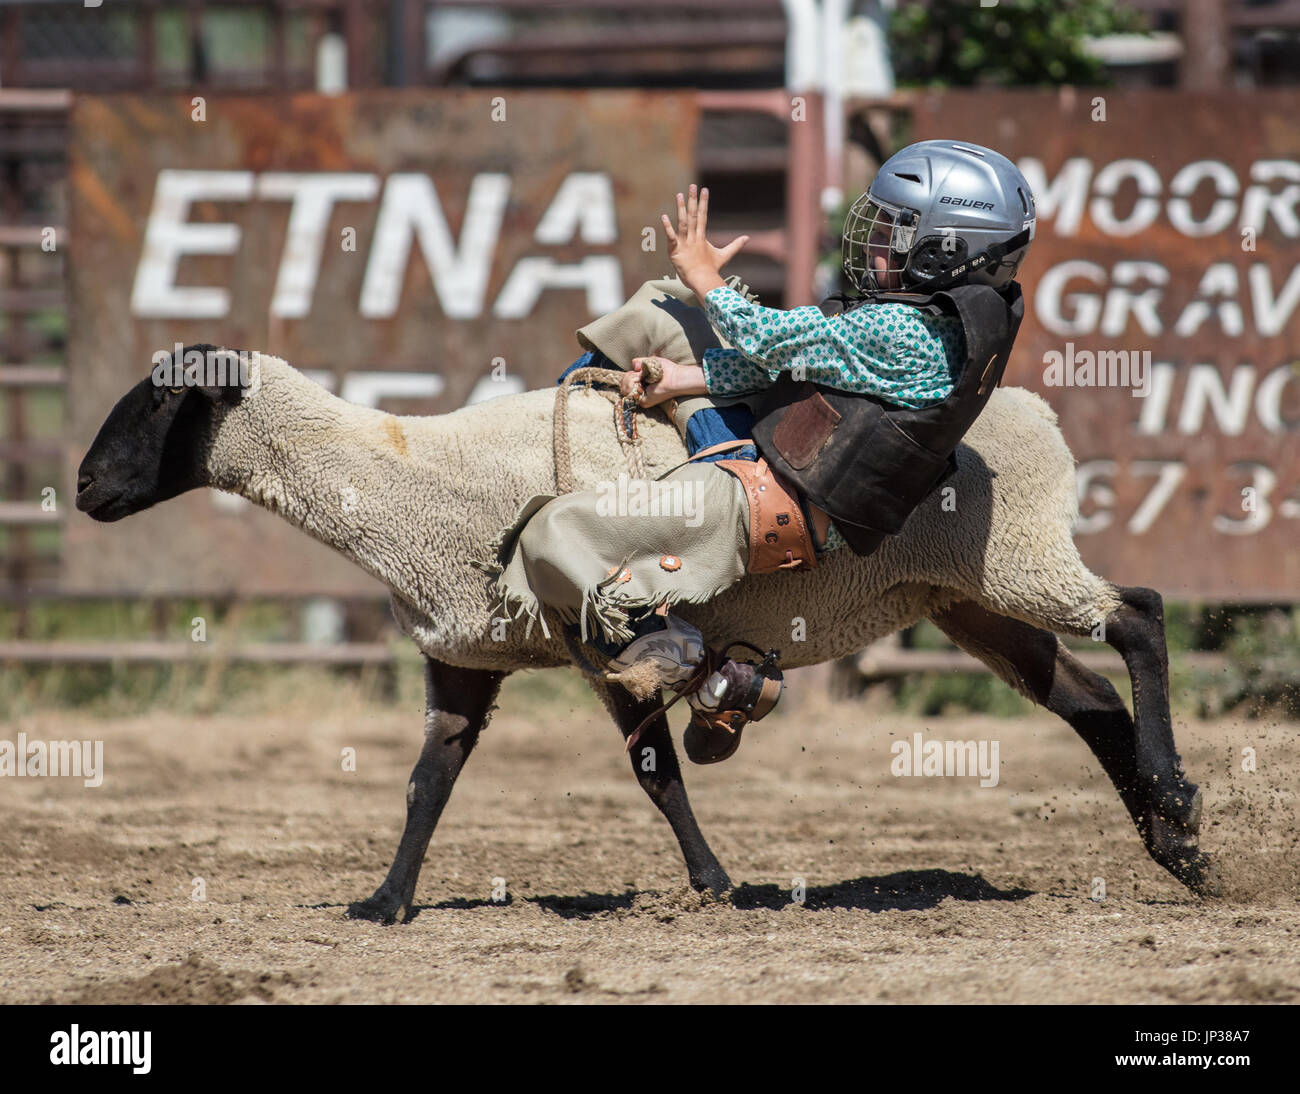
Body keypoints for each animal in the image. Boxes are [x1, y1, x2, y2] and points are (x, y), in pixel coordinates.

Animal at [74, 346, 1216, 924]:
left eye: (160, 404)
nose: (82, 488)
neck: (405, 481)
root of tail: (1038, 414)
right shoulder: (466, 652)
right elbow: (428, 779)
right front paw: (387, 901)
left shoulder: (600, 634)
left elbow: (653, 767)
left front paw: (713, 883)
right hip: (963, 595)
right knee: (1085, 699)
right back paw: (1179, 847)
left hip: (1016, 556)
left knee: (1137, 617)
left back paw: (1173, 795)